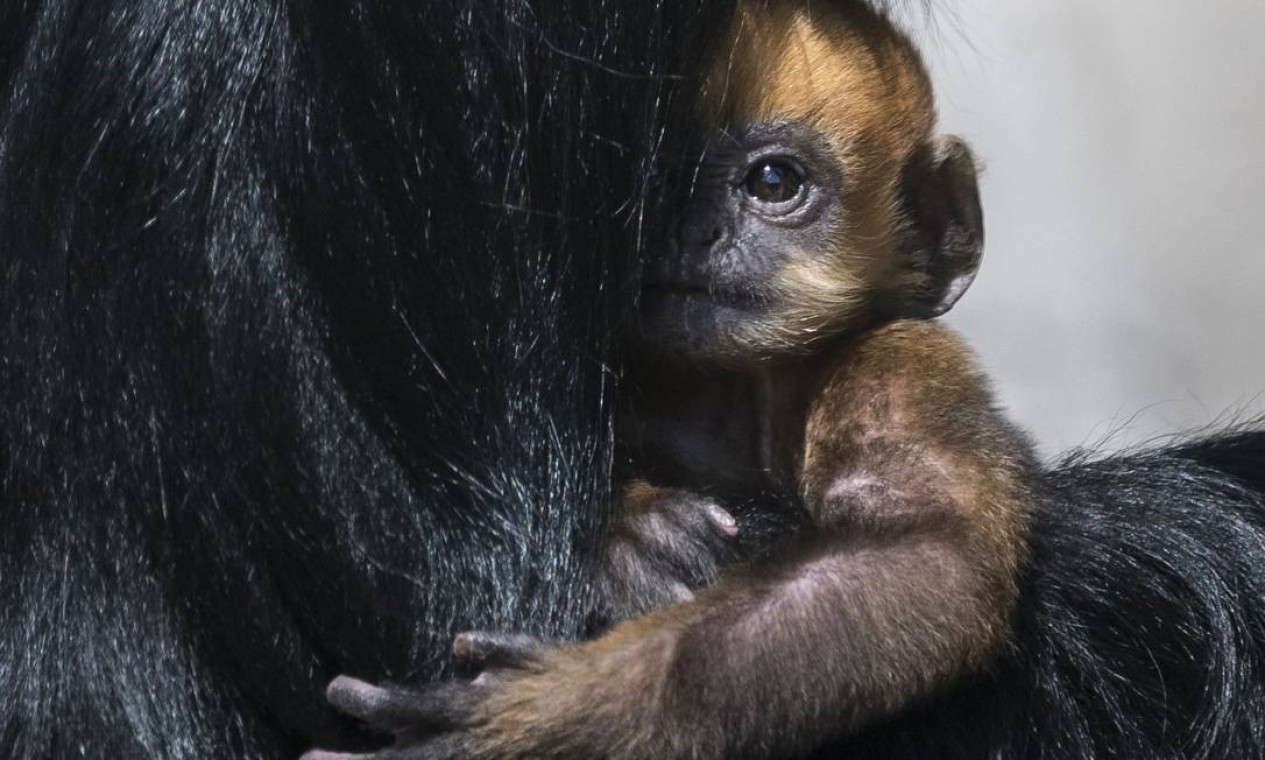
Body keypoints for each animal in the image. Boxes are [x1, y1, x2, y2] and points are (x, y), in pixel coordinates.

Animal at [303, 1, 1037, 757]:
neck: (729, 399)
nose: (694, 230)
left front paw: (544, 721)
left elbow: (924, 558)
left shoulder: (895, 365)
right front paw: (634, 533)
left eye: (772, 183)